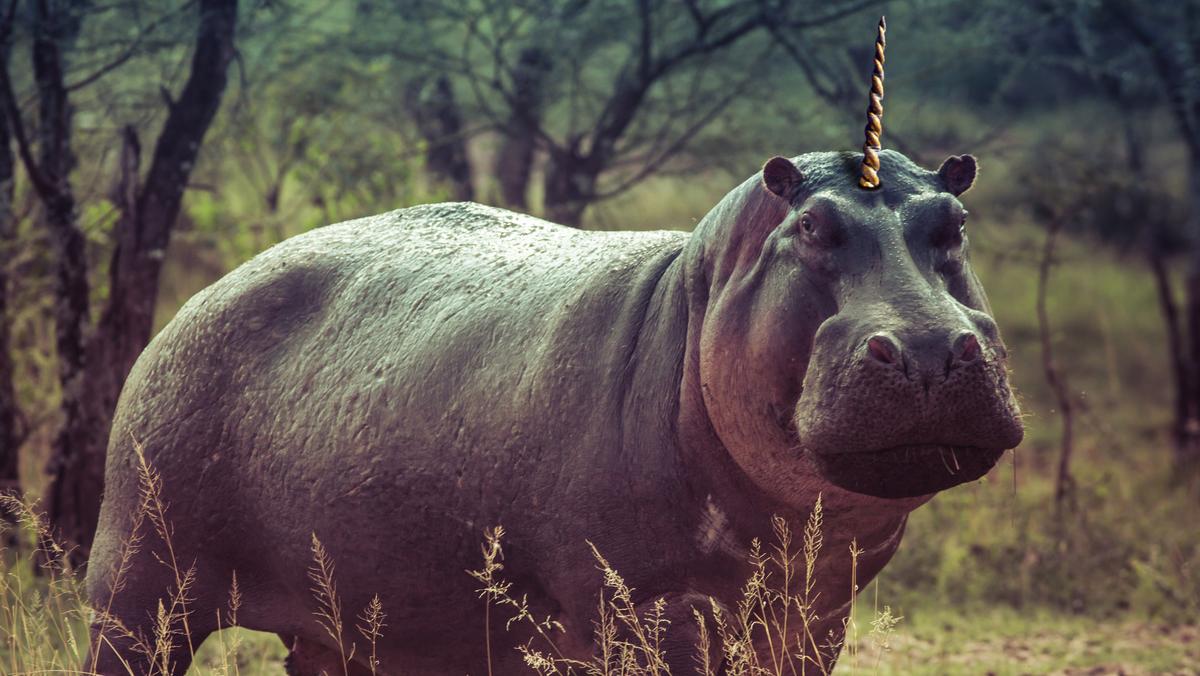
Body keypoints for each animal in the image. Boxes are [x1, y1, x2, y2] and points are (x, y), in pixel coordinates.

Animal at [85, 146, 1022, 674]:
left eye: (955, 222)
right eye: (814, 228)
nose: (930, 347)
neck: (695, 298)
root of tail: (196, 300)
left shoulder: (813, 620)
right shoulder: (653, 617)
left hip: (346, 629)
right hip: (137, 589)